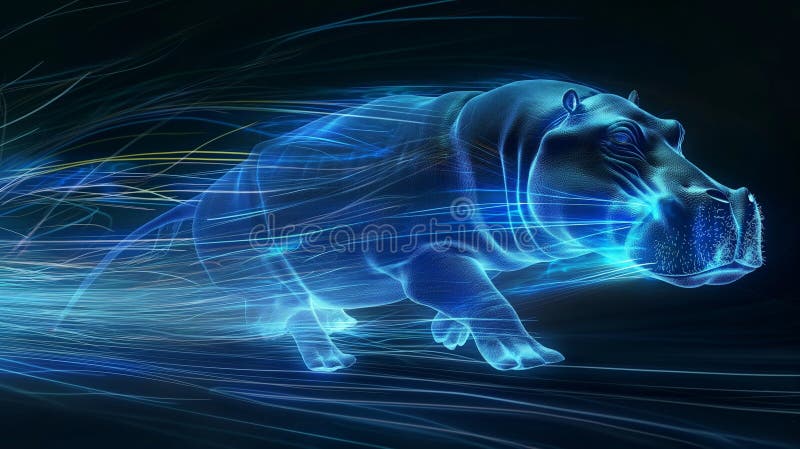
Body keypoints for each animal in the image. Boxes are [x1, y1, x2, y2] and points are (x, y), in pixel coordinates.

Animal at [61, 80, 763, 372]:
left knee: (288, 306)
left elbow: (473, 296)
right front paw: (530, 361)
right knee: (291, 306)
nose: (730, 199)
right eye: (619, 137)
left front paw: (449, 338)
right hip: (264, 259)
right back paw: (333, 361)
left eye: (676, 128)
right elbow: (486, 298)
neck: (521, 141)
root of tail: (200, 200)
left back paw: (338, 325)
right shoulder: (424, 253)